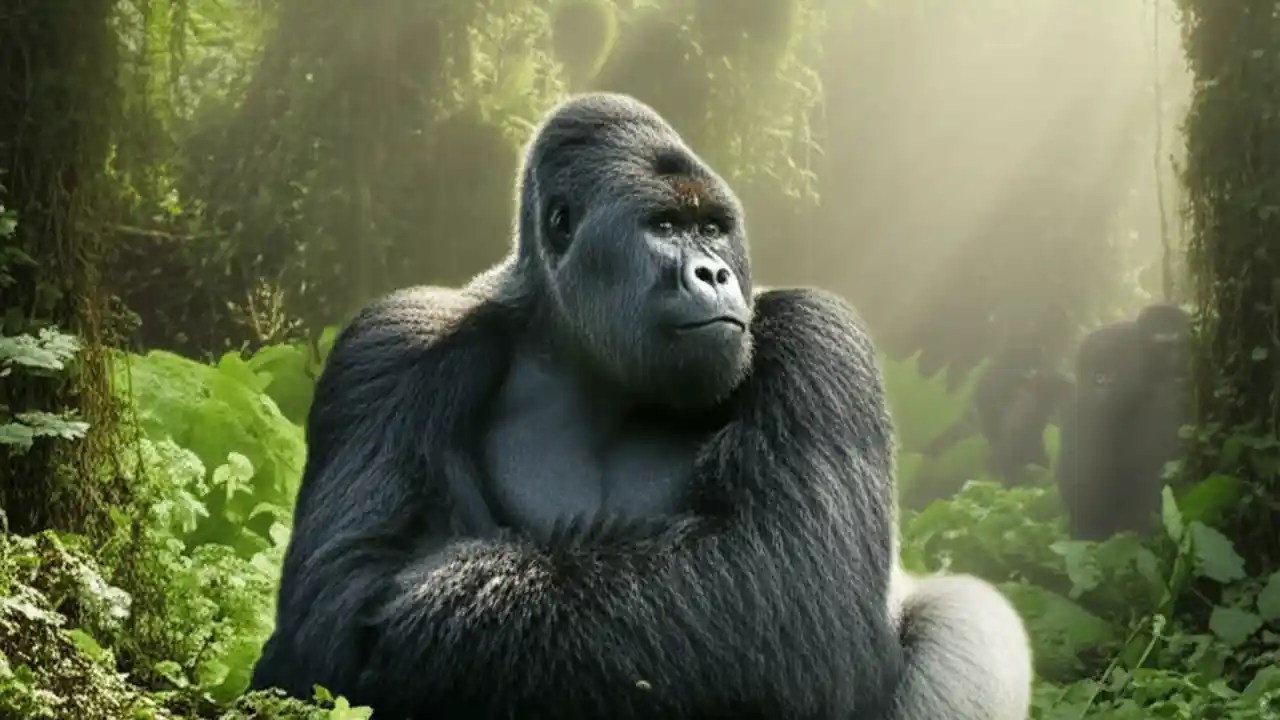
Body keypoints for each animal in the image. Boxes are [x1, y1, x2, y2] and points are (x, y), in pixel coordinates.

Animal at [250, 92, 1032, 720]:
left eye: (713, 228)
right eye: (664, 226)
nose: (713, 274)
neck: (574, 344)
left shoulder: (822, 336)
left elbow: (798, 587)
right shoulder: (394, 342)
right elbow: (340, 592)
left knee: (964, 615)